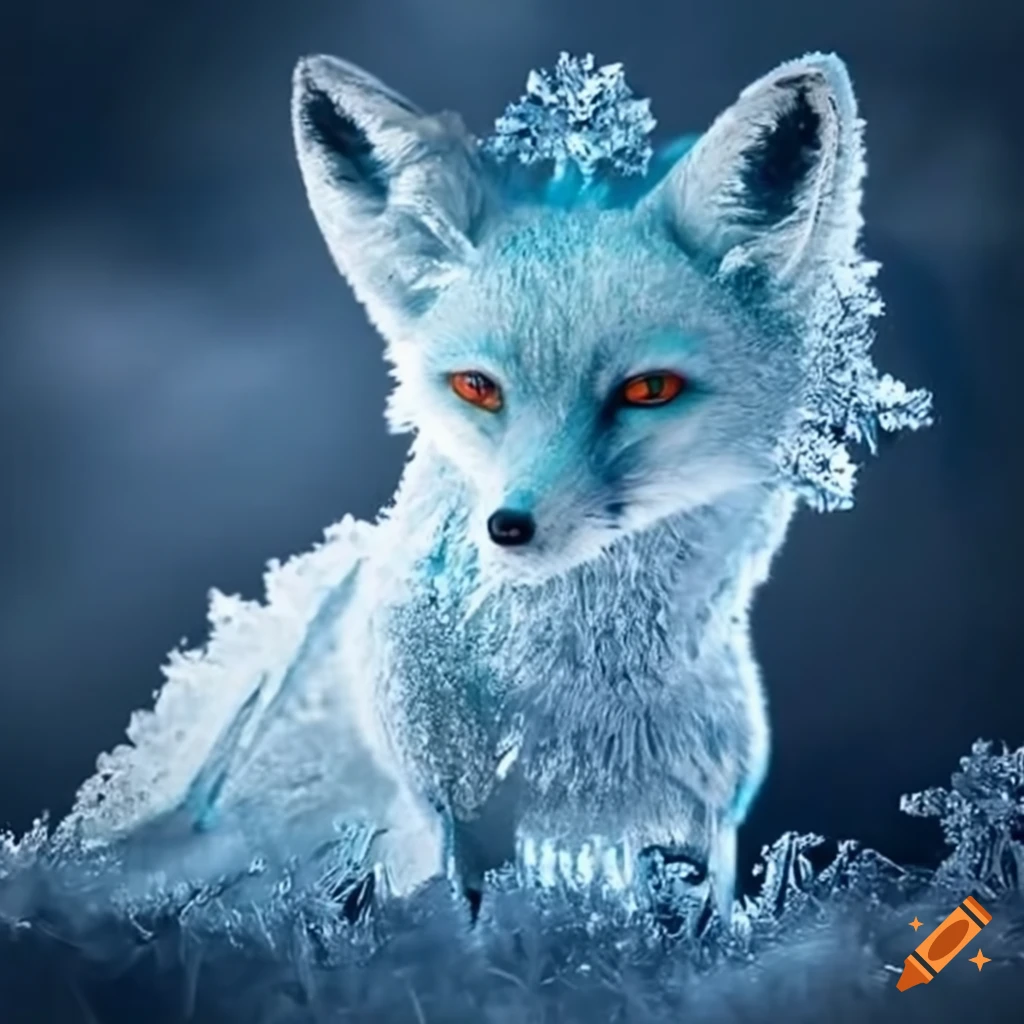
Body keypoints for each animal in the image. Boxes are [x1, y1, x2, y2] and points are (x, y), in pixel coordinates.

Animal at [35, 50, 913, 936]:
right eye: (477, 388)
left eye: (649, 390)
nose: (508, 527)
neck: (582, 715)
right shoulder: (460, 811)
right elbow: (471, 929)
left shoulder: (701, 827)